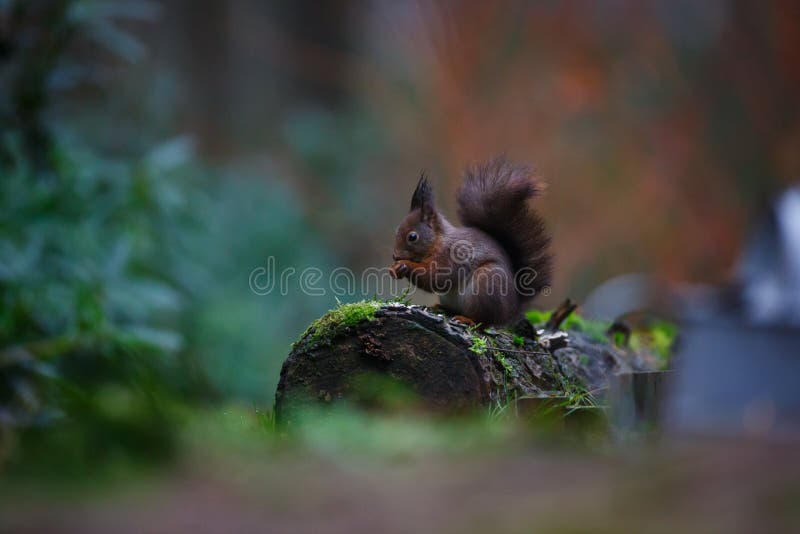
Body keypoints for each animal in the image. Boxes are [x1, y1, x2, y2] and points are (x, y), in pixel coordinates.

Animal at [389, 156, 552, 326]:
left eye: (412, 237)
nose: (395, 256)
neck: (437, 242)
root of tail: (509, 312)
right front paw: (394, 269)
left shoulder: (451, 255)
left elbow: (436, 277)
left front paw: (404, 265)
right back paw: (441, 307)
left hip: (486, 284)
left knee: (483, 320)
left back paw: (466, 319)